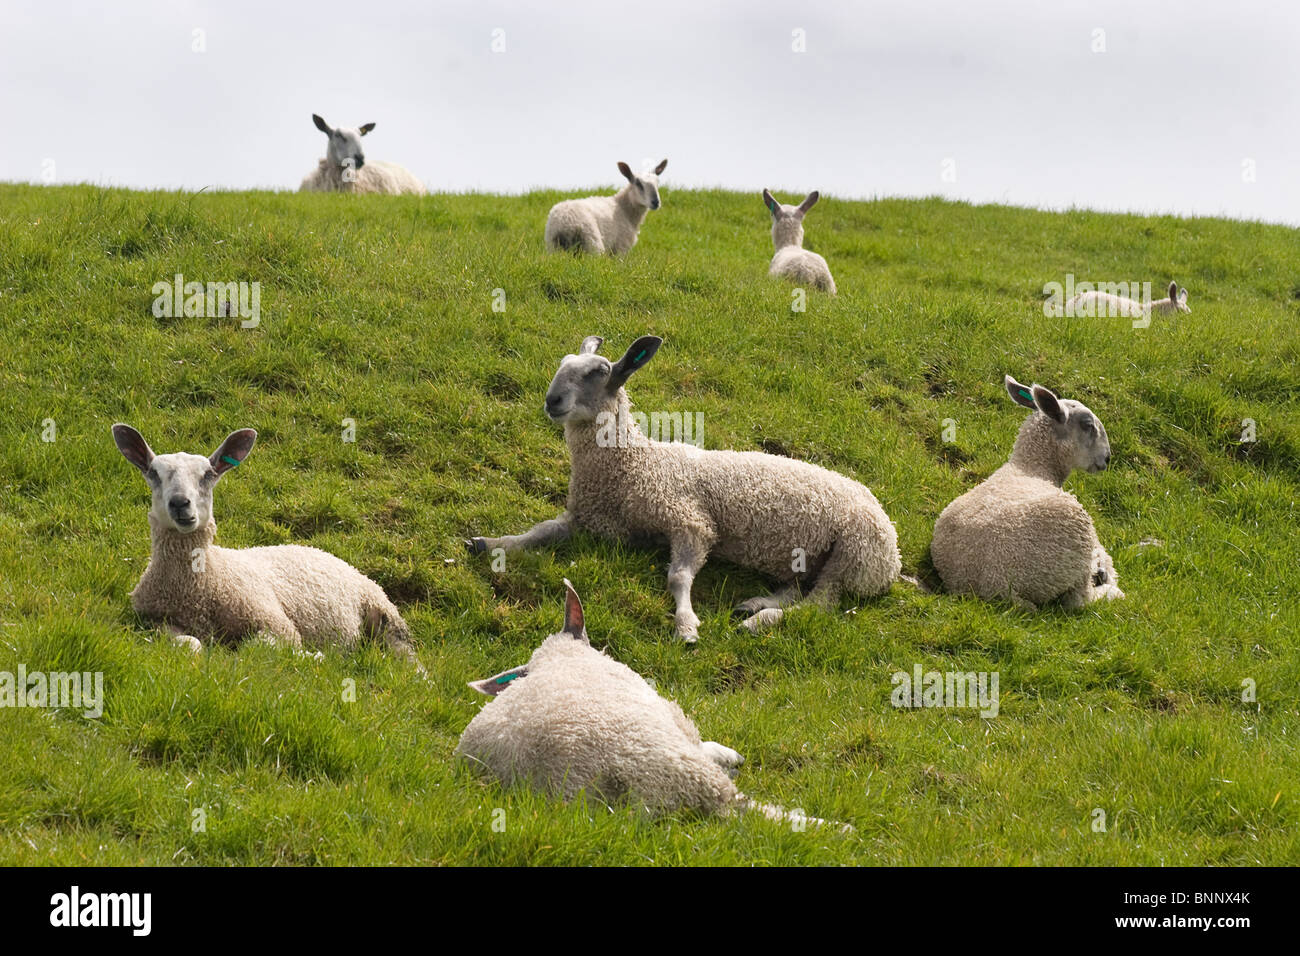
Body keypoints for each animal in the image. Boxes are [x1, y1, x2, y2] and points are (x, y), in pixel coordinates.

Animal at [111, 424, 421, 667]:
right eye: (153, 472)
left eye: (209, 474)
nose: (179, 503)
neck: (201, 583)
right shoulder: (153, 622)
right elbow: (190, 645)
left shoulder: (278, 624)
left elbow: (256, 646)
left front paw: (314, 657)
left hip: (384, 613)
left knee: (405, 653)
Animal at [466, 335, 901, 640]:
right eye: (562, 365)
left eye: (599, 372)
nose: (552, 400)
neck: (635, 465)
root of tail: (894, 552)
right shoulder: (588, 518)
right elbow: (538, 532)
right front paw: (489, 543)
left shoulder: (691, 521)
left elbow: (678, 577)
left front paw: (686, 625)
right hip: (814, 559)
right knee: (800, 590)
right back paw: (756, 603)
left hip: (852, 556)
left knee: (820, 604)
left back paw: (759, 622)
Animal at [929, 376, 1125, 609]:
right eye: (1088, 425)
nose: (1107, 458)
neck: (1033, 466)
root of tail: (995, 589)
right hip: (1071, 541)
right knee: (1077, 601)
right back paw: (1111, 592)